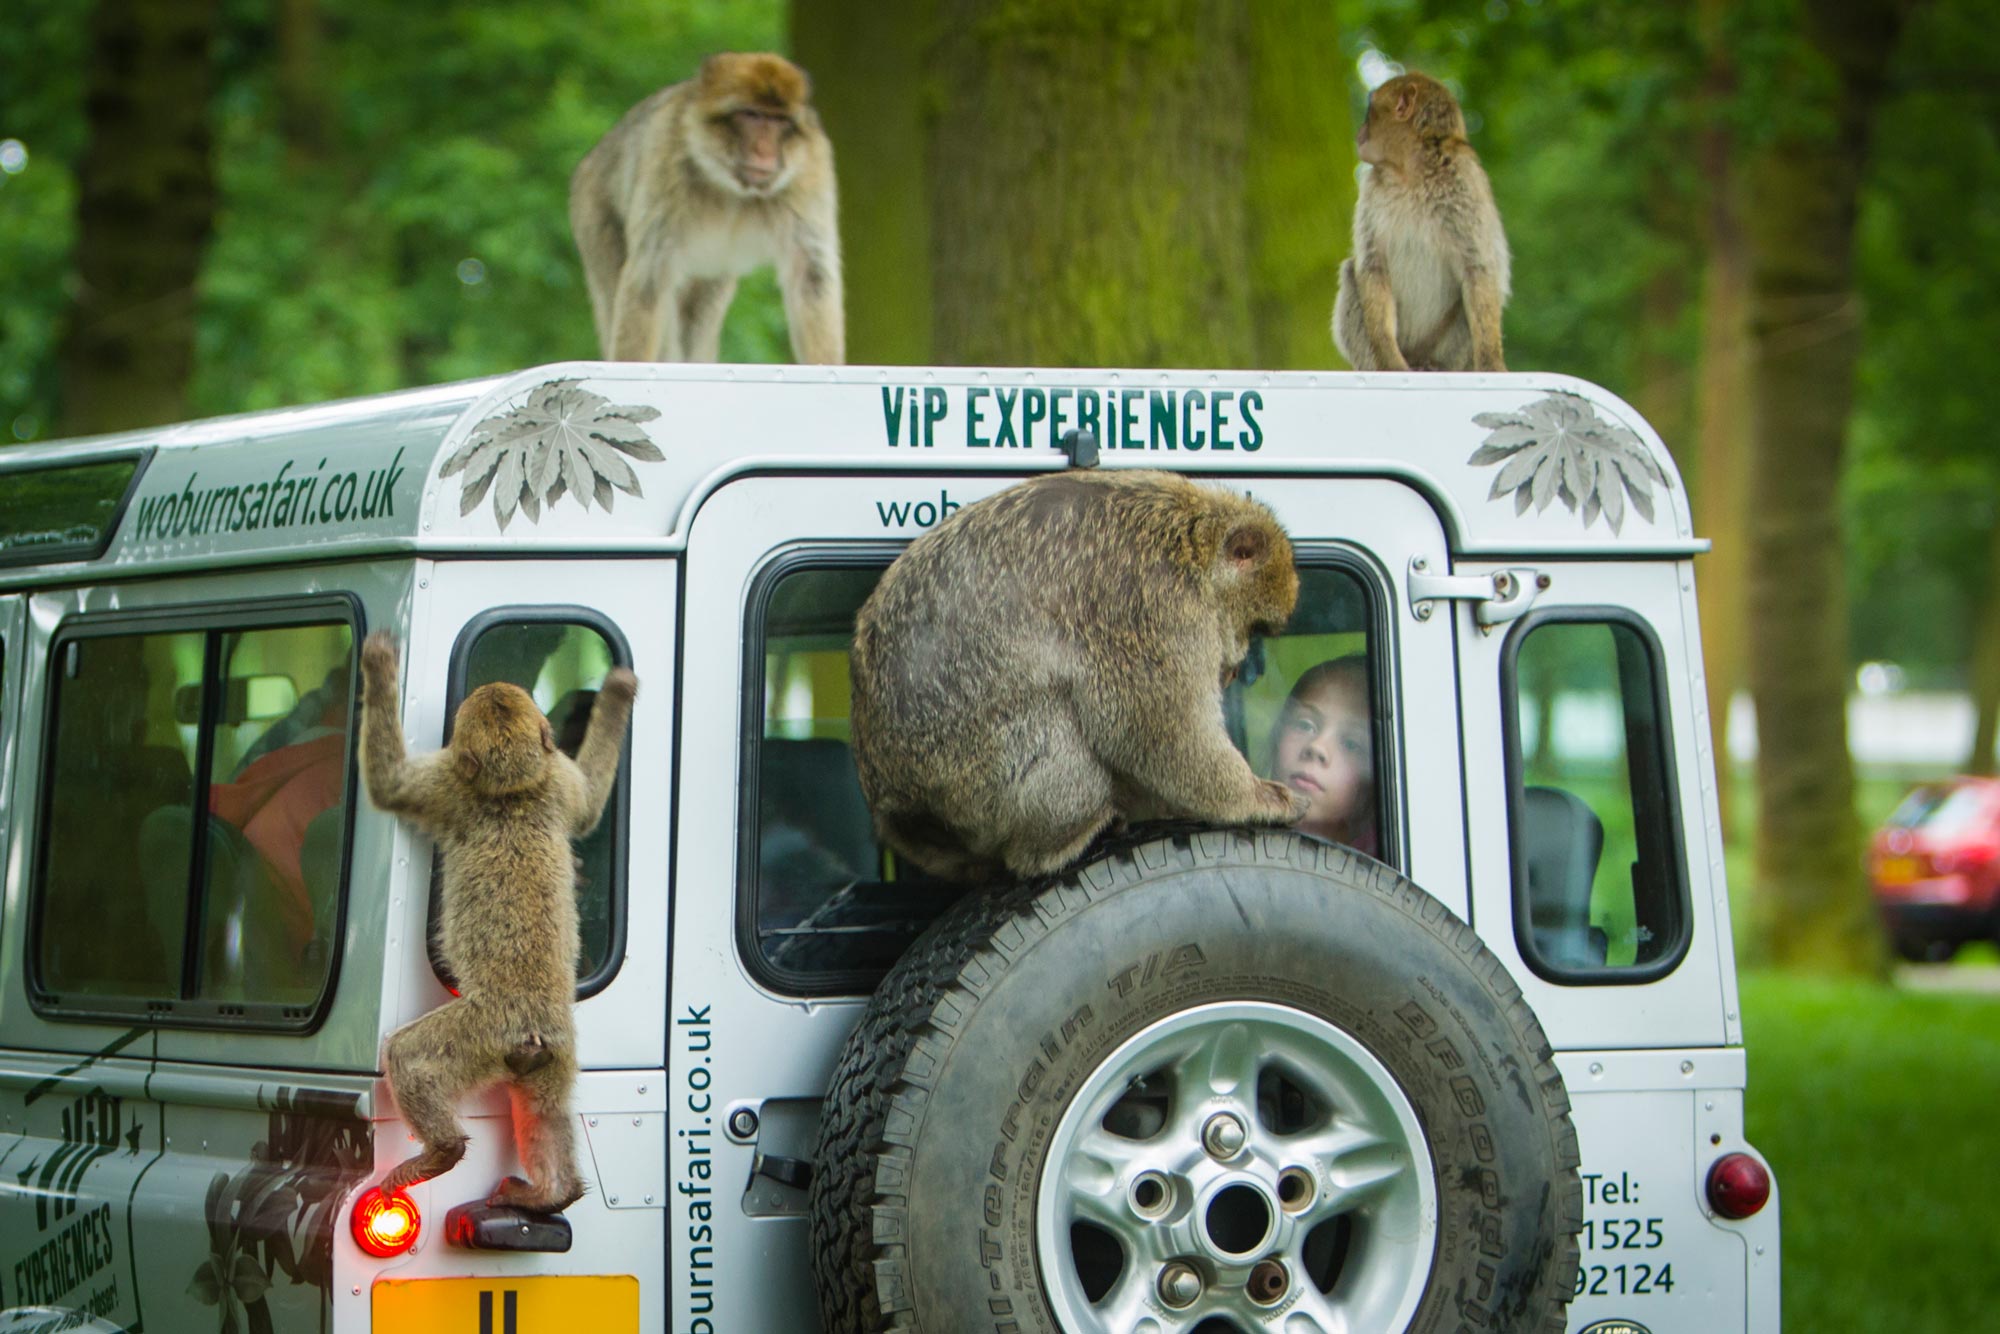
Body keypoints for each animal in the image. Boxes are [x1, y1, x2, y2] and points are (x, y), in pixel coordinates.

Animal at [358, 631, 637, 1212]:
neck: (516, 785)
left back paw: (440, 1151)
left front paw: (379, 665)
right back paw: (551, 1193)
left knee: (409, 1057)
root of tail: (531, 1030)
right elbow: (589, 806)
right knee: (544, 1109)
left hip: (481, 1031)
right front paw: (620, 689)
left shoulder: (446, 785)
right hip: (557, 1050)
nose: (490, 684)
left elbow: (389, 785)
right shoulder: (559, 782)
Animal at [569, 51, 844, 365]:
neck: (733, 188)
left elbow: (811, 275)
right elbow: (650, 278)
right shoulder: (666, 159)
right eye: (752, 115)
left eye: (779, 120)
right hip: (592, 212)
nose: (764, 151)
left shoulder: (810, 170)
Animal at [849, 470, 1310, 883]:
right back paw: (1057, 843)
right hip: (972, 786)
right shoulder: (1149, 603)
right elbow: (1157, 729)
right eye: (1253, 627)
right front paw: (1255, 797)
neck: (1187, 543)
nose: (1234, 665)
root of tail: (891, 806)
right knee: (1056, 724)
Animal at [1333, 72, 1511, 373]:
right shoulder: (1371, 189)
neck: (1410, 171)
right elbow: (1373, 266)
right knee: (1350, 272)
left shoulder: (1464, 179)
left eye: (1369, 112)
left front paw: (1491, 363)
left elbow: (1478, 267)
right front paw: (1389, 363)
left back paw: (1433, 364)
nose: (1359, 133)